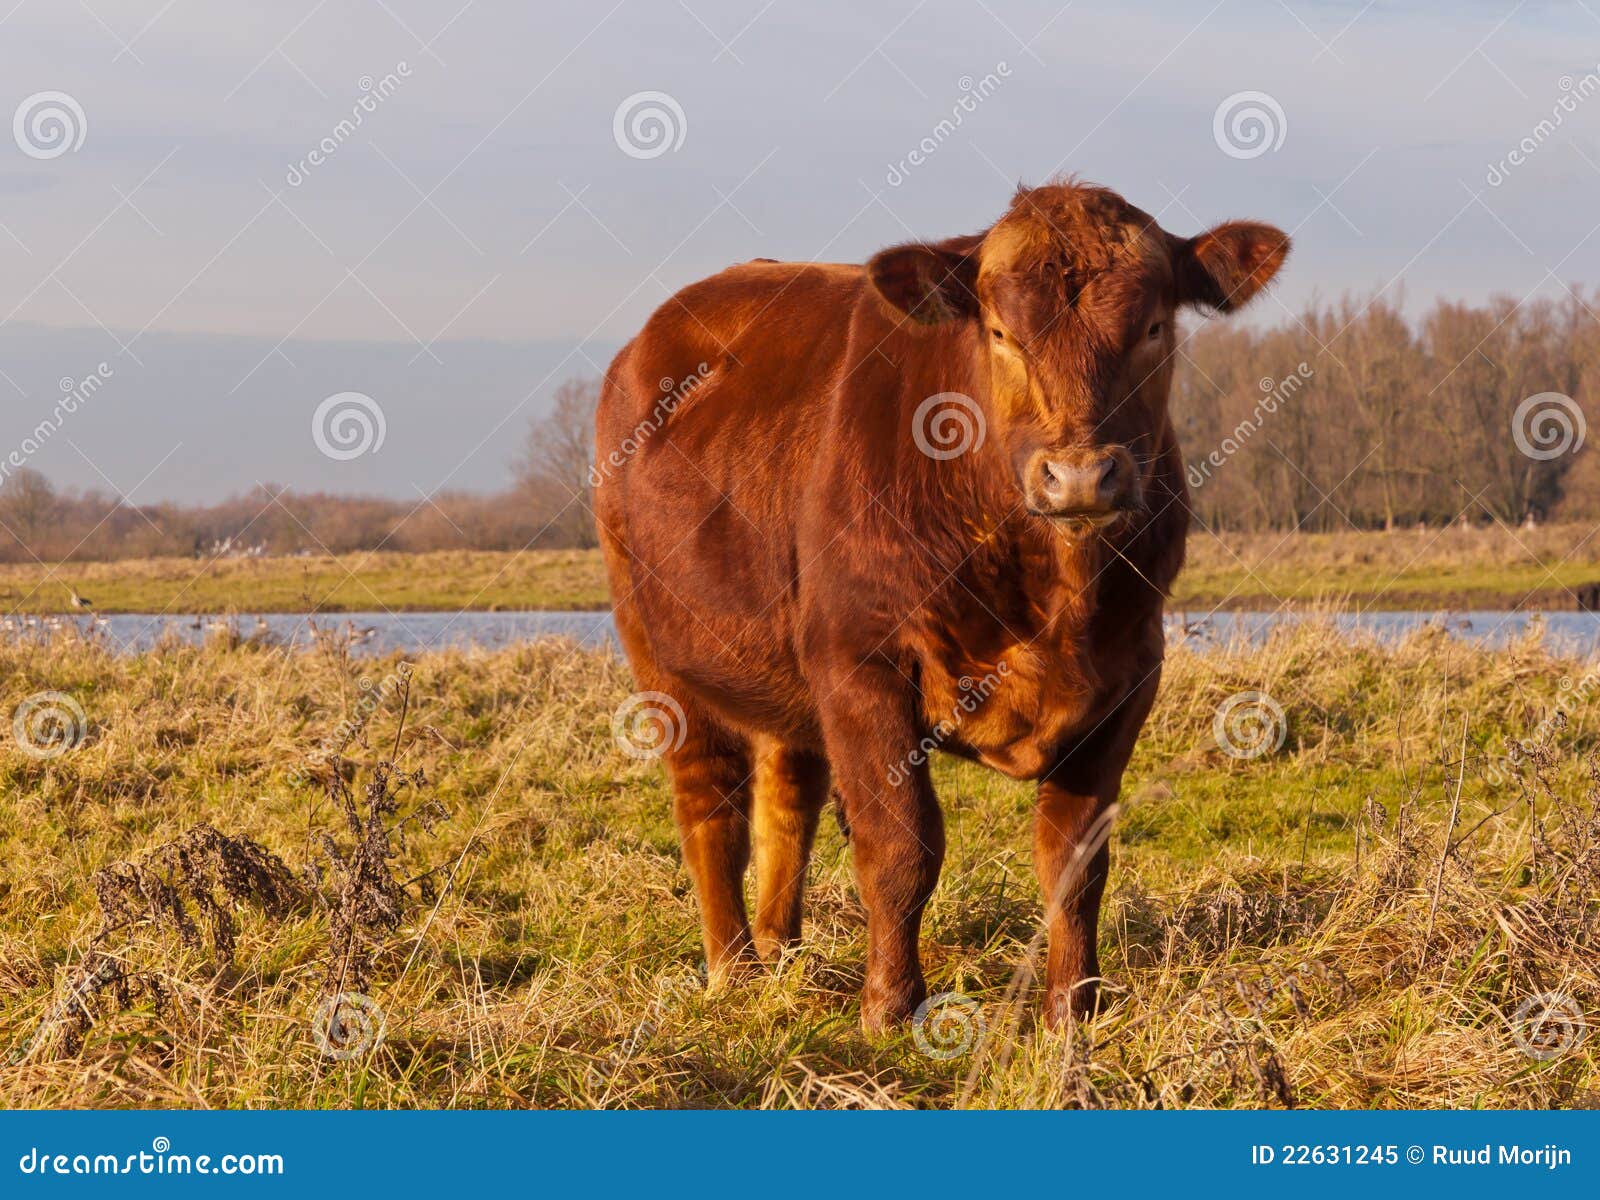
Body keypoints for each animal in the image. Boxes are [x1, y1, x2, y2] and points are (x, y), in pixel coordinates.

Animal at [594, 180, 1289, 1031]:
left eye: (1155, 327)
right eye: (1000, 331)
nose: (1080, 476)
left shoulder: (1130, 674)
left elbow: (1075, 858)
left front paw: (1073, 1008)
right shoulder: (861, 663)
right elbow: (902, 845)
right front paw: (892, 1008)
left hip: (786, 678)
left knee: (787, 799)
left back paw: (787, 959)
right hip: (663, 655)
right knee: (710, 805)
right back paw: (737, 971)